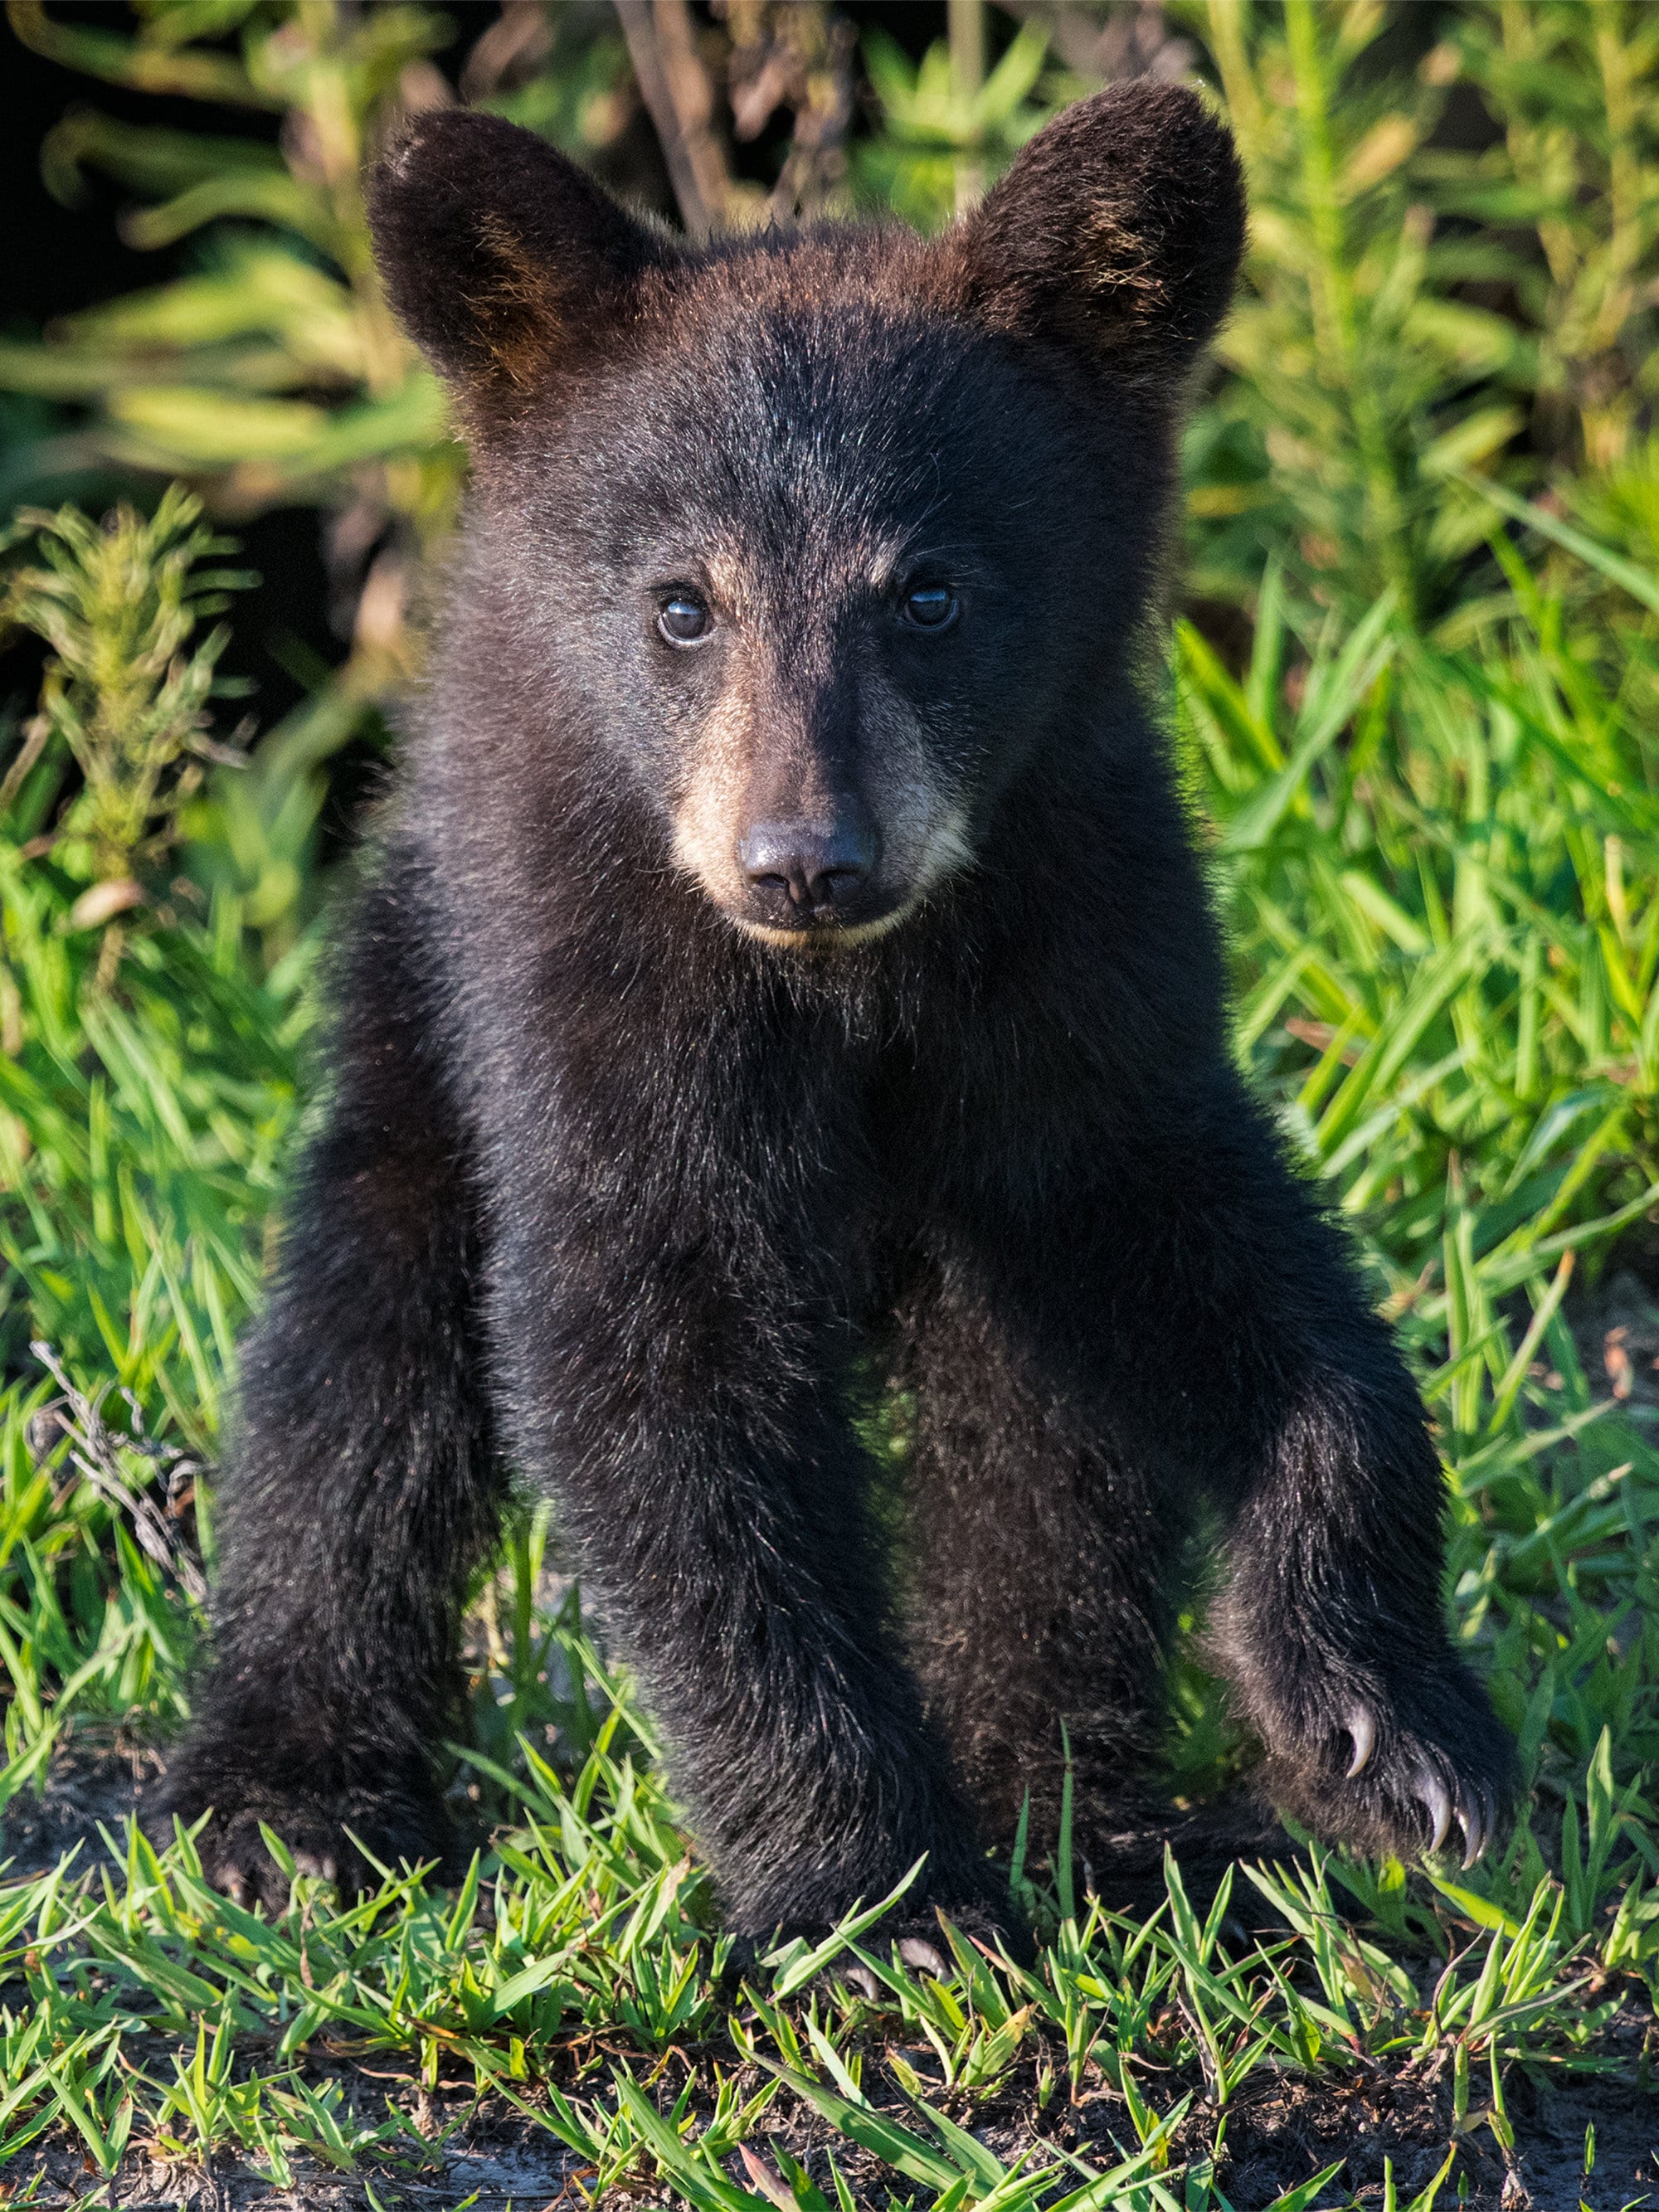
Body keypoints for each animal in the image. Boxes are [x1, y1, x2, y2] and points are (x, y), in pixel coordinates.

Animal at [152, 83, 1516, 1941]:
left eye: (926, 591)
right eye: (681, 602)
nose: (804, 858)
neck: (859, 986)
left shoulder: (1085, 942)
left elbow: (1225, 1264)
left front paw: (1388, 1730)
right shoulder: (599, 989)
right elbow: (661, 1372)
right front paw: (872, 1893)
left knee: (1028, 1426)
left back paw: (1083, 1807)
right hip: (425, 978)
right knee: (362, 1352)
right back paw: (286, 1795)